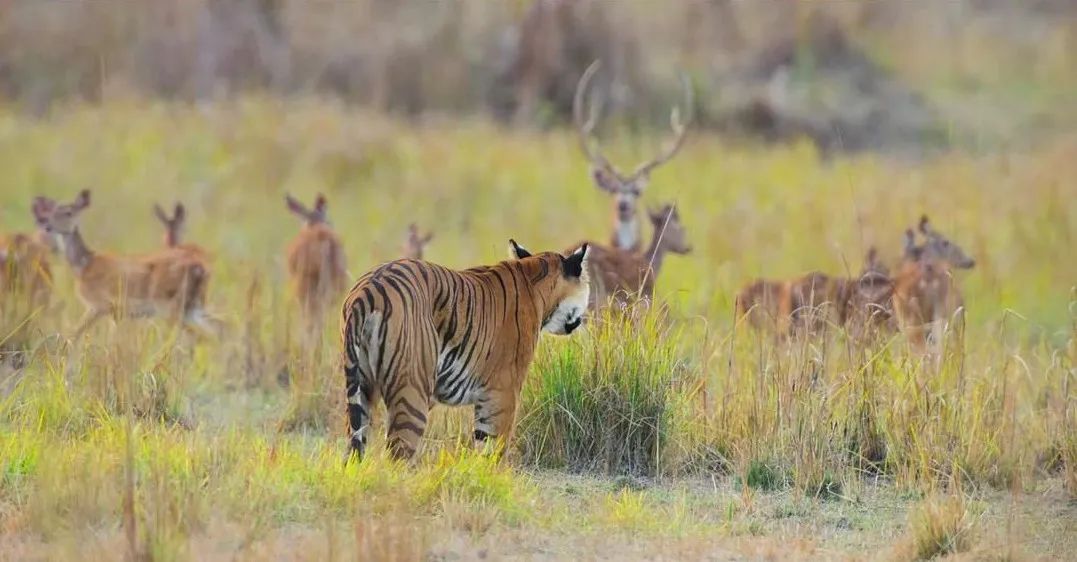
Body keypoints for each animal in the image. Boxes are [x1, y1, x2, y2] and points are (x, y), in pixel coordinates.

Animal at [339, 239, 590, 460]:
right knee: (397, 455)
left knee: (353, 450)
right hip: (411, 390)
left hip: (363, 388)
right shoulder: (502, 393)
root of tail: (367, 291)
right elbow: (493, 452)